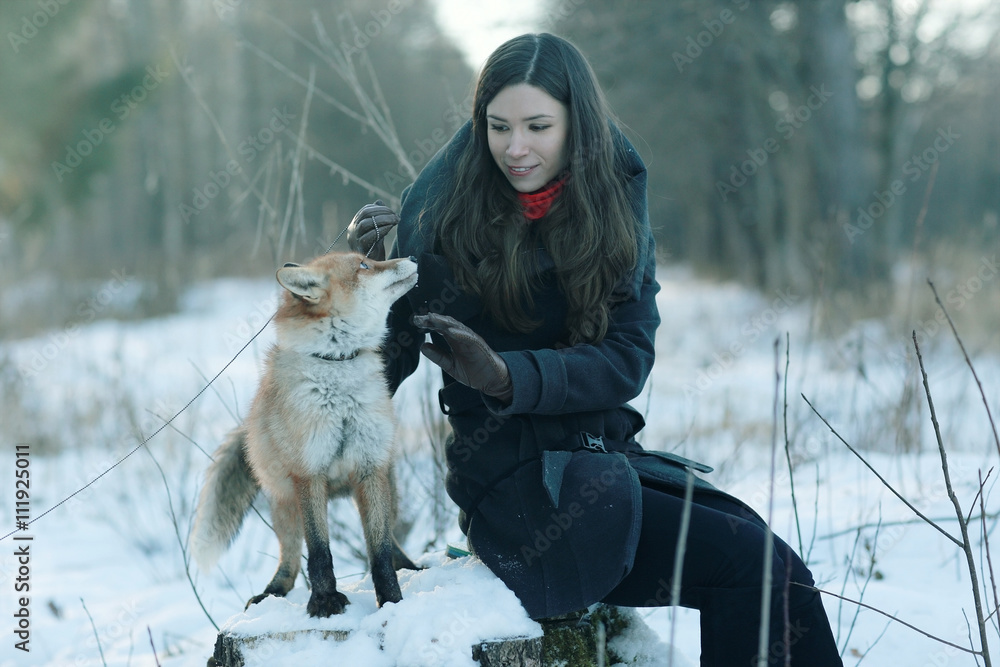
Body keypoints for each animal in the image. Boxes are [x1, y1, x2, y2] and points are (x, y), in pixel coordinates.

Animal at [190, 251, 419, 617]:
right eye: (364, 265)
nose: (411, 256)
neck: (338, 367)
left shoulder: (370, 468)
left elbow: (380, 552)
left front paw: (392, 602)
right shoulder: (307, 474)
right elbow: (320, 553)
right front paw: (324, 602)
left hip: (385, 489)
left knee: (391, 542)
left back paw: (411, 568)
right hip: (286, 506)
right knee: (291, 560)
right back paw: (271, 592)